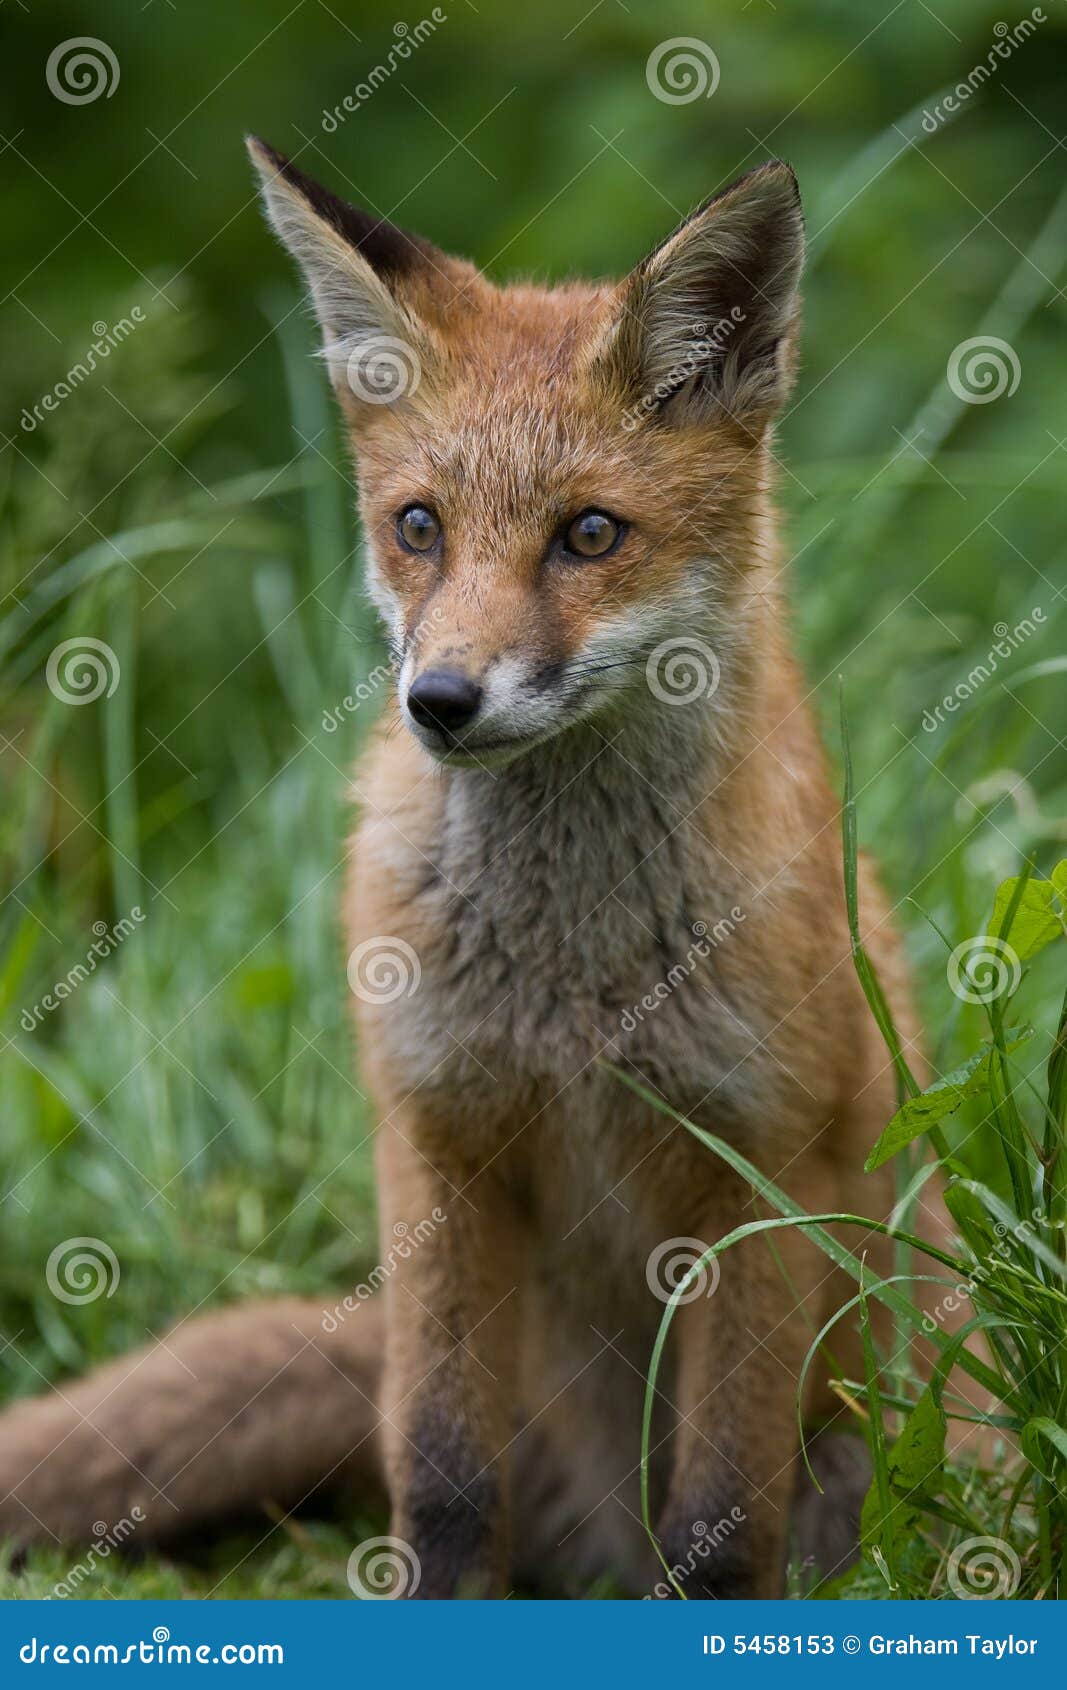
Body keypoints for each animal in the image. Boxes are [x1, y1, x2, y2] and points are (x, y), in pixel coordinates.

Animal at [0, 140, 927, 1599]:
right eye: (418, 526)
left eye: (589, 534)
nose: (438, 699)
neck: (569, 987)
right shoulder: (436, 1137)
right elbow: (439, 1473)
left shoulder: (759, 1165)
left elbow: (724, 1519)